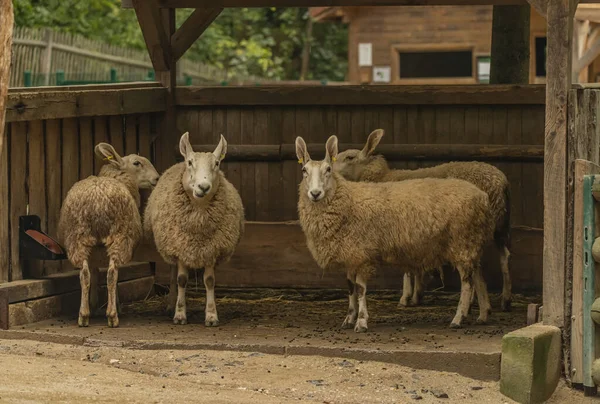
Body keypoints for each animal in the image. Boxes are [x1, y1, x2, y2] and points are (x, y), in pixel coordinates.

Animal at [144, 132, 245, 326]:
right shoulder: (181, 248)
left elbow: (210, 281)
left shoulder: (212, 250)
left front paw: (211, 315)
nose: (203, 187)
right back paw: (171, 304)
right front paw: (179, 314)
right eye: (190, 162)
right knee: (173, 275)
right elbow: (181, 280)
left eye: (217, 163)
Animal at [296, 136, 492, 332]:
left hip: (462, 241)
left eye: (328, 169)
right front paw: (349, 319)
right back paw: (483, 314)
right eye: (304, 170)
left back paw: (458, 318)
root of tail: (482, 196)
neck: (346, 198)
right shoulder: (351, 254)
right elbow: (351, 288)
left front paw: (361, 321)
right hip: (472, 242)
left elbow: (360, 289)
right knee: (478, 276)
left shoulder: (363, 254)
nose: (315, 193)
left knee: (467, 283)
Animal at [332, 130, 510, 312]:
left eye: (350, 157)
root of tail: (500, 181)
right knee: (504, 256)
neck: (384, 178)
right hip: (499, 222)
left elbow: (408, 267)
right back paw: (505, 300)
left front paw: (406, 297)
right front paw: (417, 295)